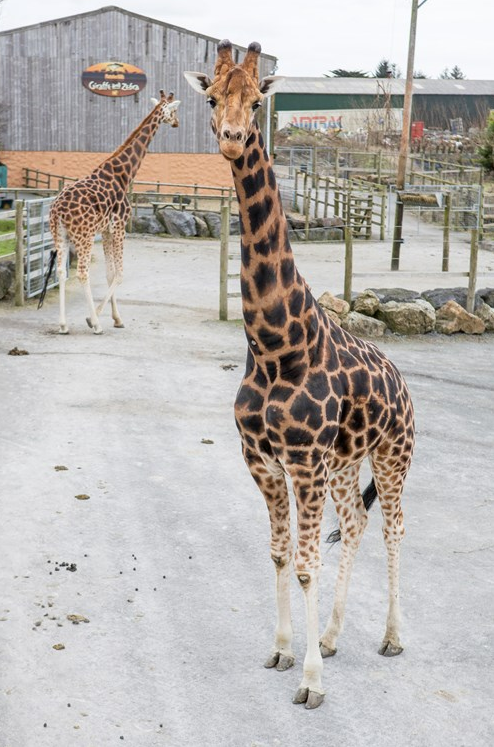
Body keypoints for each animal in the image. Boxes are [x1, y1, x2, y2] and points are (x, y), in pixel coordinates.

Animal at [46, 91, 180, 334]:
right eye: (173, 111)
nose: (176, 123)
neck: (123, 174)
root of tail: (58, 210)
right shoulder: (119, 228)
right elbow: (119, 274)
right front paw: (93, 319)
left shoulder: (107, 231)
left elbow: (109, 275)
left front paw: (117, 319)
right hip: (84, 236)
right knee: (82, 272)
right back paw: (96, 325)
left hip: (59, 235)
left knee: (60, 271)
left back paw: (63, 325)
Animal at [185, 42, 415, 710]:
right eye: (214, 98)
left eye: (257, 99)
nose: (233, 138)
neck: (273, 346)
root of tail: (403, 382)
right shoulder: (264, 461)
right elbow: (281, 556)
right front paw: (286, 650)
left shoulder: (303, 462)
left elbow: (308, 563)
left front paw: (310, 682)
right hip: (345, 464)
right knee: (357, 523)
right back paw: (335, 637)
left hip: (392, 456)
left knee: (394, 530)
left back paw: (392, 638)